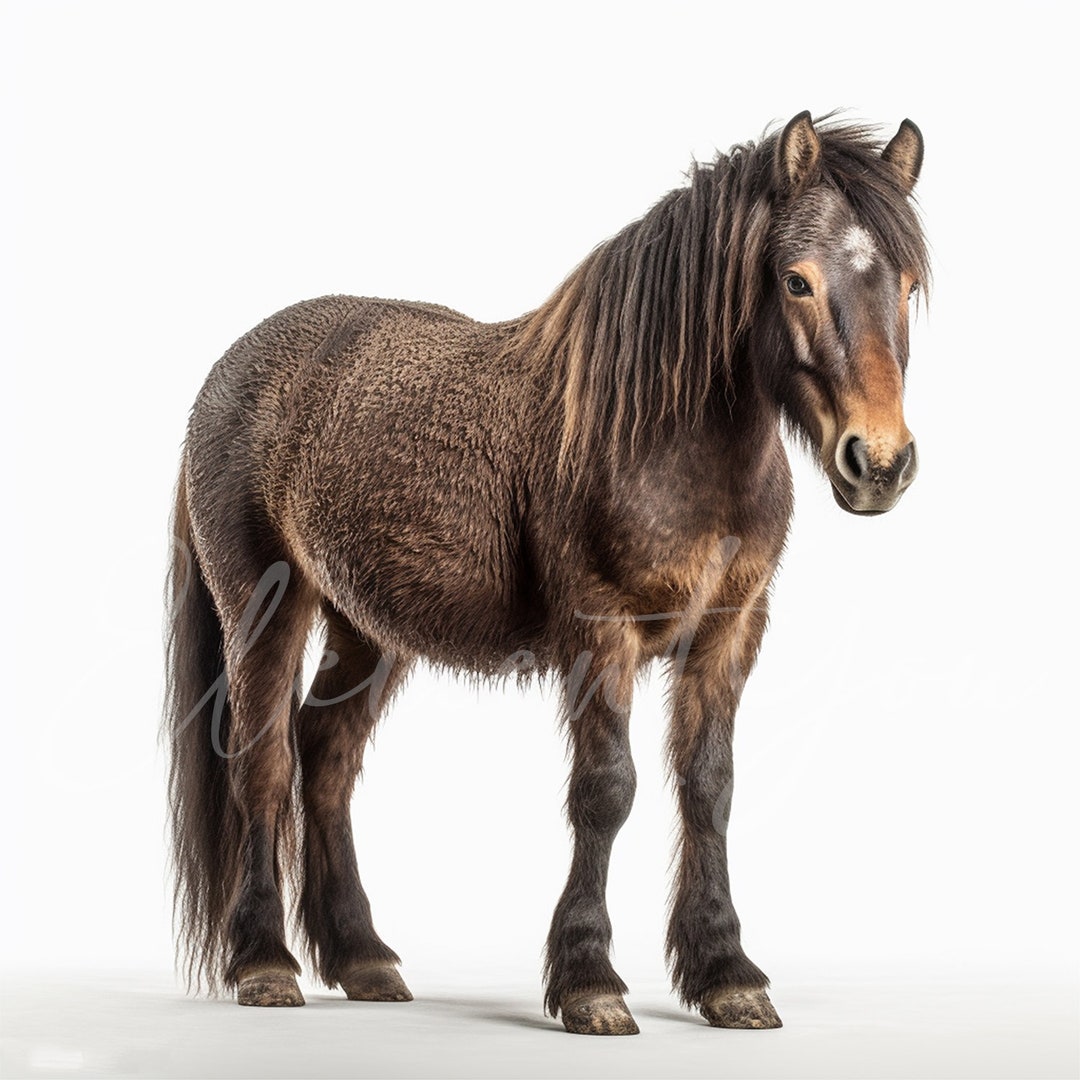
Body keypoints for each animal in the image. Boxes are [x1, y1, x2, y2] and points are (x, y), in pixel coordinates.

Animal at [165, 111, 928, 1036]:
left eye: (908, 285)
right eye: (797, 281)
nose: (878, 463)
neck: (659, 437)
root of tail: (226, 371)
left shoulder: (729, 634)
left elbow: (708, 787)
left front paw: (726, 973)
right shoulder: (601, 635)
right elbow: (606, 790)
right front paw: (589, 980)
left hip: (368, 629)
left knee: (327, 757)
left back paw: (362, 956)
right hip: (263, 607)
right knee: (265, 764)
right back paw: (266, 963)